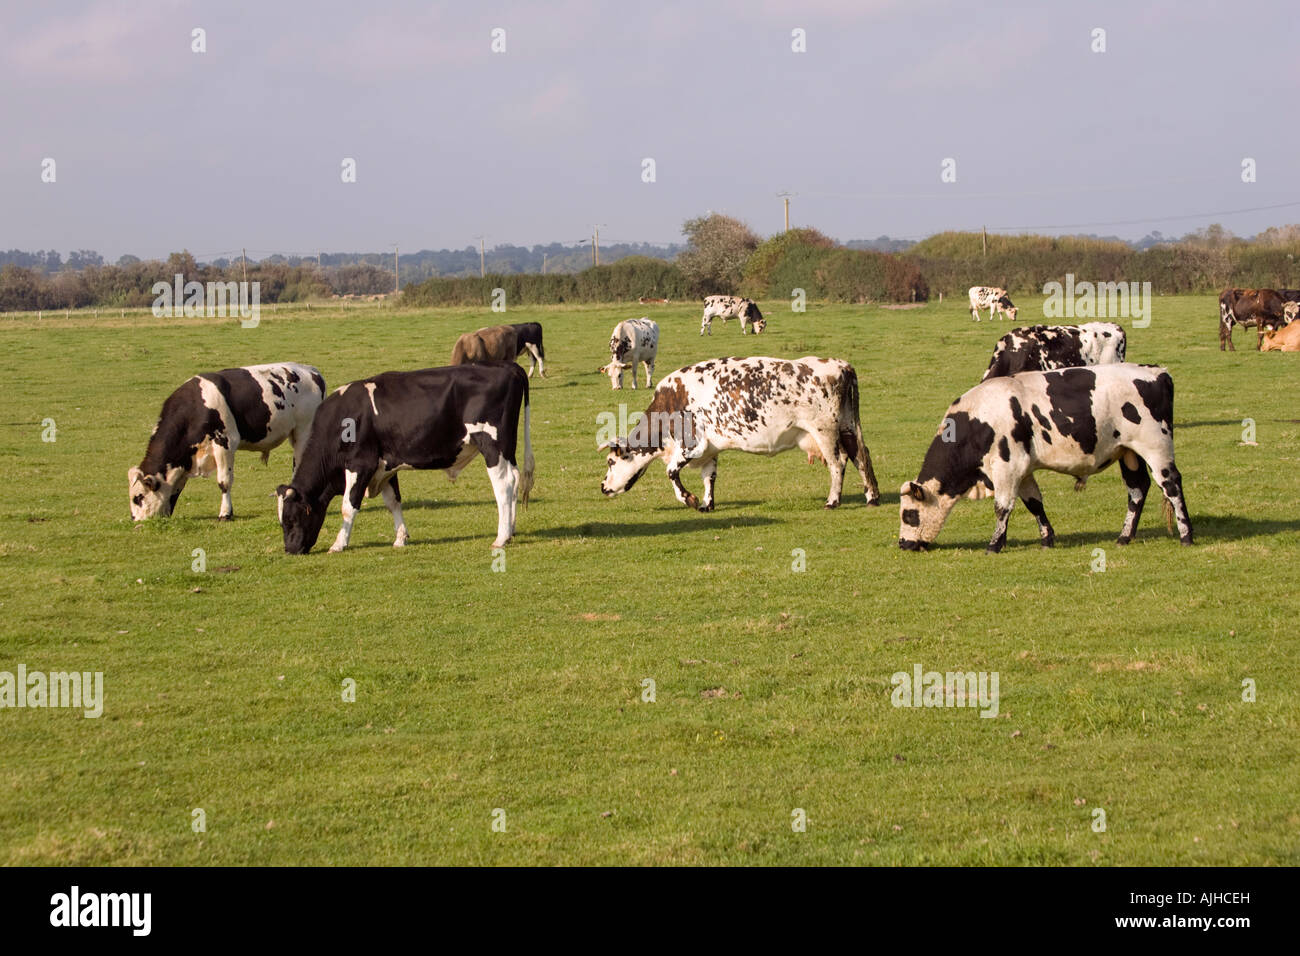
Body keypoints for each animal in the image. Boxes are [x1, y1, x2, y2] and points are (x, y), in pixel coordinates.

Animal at [128, 363, 325, 521]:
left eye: (138, 497)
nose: (135, 520)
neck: (196, 407)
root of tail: (312, 371)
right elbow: (178, 487)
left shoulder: (225, 442)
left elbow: (224, 482)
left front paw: (225, 513)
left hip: (303, 430)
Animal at [275, 363, 534, 554]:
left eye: (291, 519)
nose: (290, 550)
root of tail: (506, 366)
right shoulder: (385, 466)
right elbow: (393, 502)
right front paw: (401, 538)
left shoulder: (360, 464)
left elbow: (348, 506)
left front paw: (338, 544)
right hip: (507, 448)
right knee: (515, 479)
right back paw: (511, 530)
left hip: (492, 446)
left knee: (504, 484)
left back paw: (501, 537)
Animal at [600, 356, 880, 512]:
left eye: (611, 461)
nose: (603, 487)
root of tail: (840, 365)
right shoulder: (709, 450)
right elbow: (709, 477)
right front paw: (706, 504)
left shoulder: (692, 445)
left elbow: (671, 472)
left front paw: (689, 499)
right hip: (847, 427)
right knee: (861, 457)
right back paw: (871, 497)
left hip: (825, 431)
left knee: (838, 463)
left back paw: (833, 501)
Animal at [898, 363, 1192, 553]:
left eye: (909, 515)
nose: (903, 544)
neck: (977, 420)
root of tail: (1156, 372)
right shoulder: (1024, 470)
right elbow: (1034, 504)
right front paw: (1046, 539)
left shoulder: (1007, 468)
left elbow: (1002, 507)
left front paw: (994, 544)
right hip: (1128, 453)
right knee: (1137, 490)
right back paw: (1124, 537)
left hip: (1156, 449)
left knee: (1171, 486)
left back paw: (1186, 535)